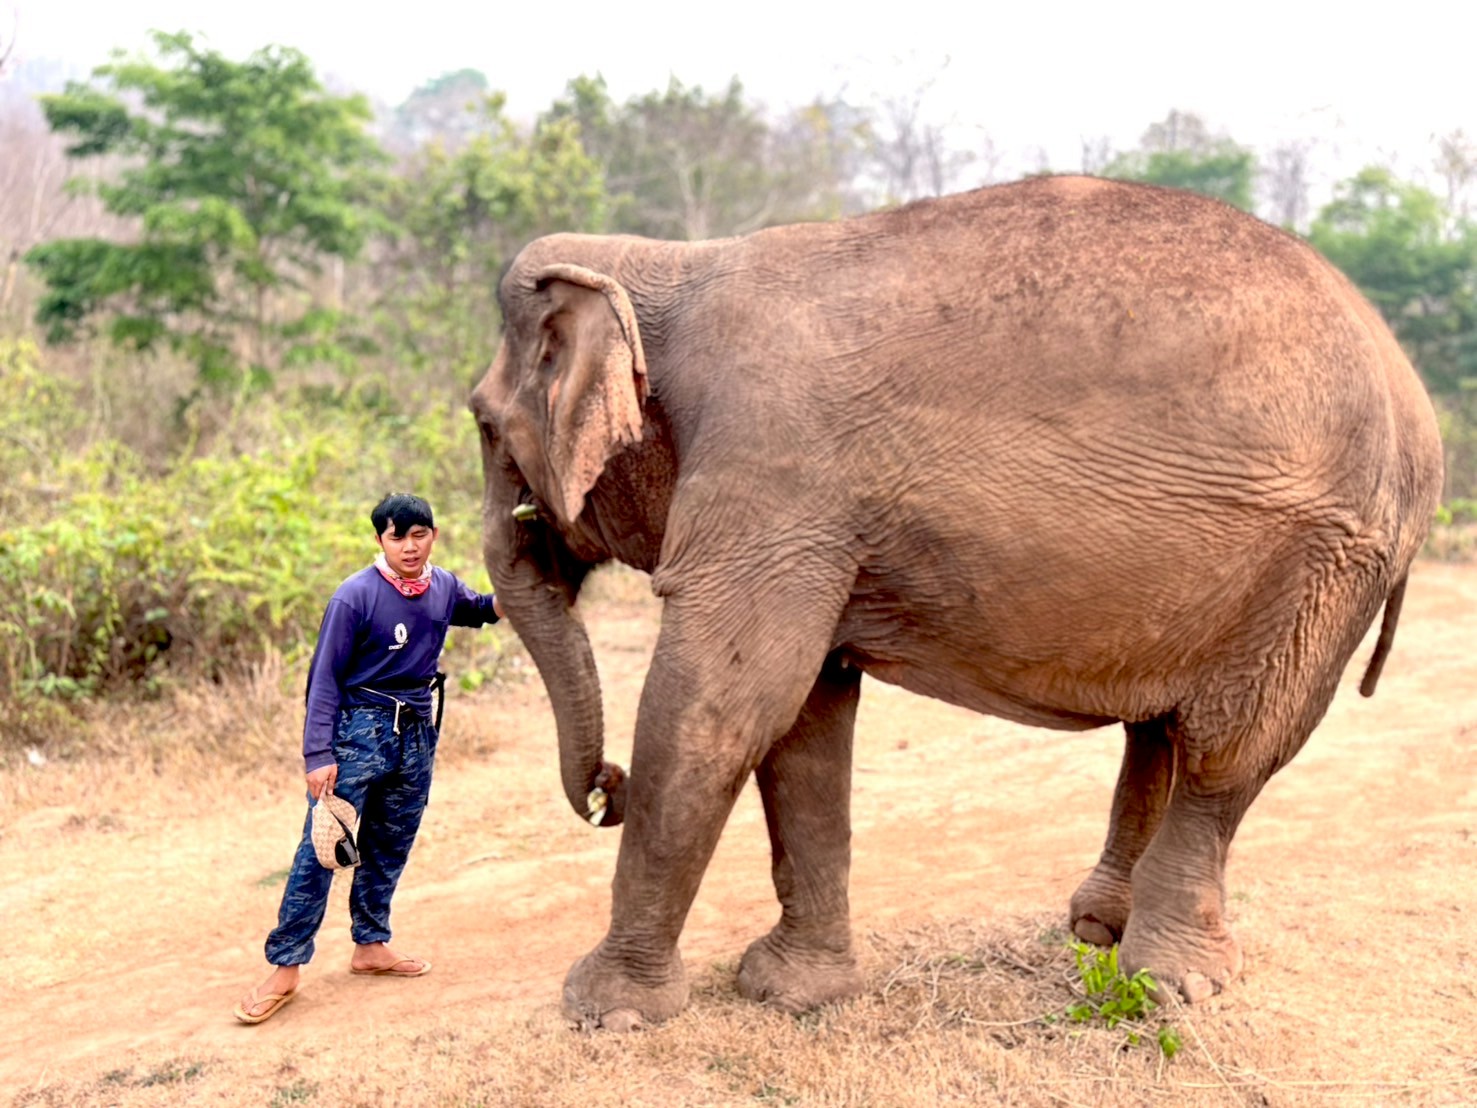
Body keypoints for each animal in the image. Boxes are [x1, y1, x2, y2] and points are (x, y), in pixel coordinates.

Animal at [470, 174, 1444, 1029]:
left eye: (482, 422)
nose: (605, 792)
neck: (668, 265)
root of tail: (1417, 409)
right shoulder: (805, 511)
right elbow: (805, 721)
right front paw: (794, 995)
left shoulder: (773, 469)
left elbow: (722, 703)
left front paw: (607, 1012)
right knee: (1160, 733)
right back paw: (1097, 930)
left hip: (1323, 562)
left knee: (1226, 753)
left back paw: (1170, 986)